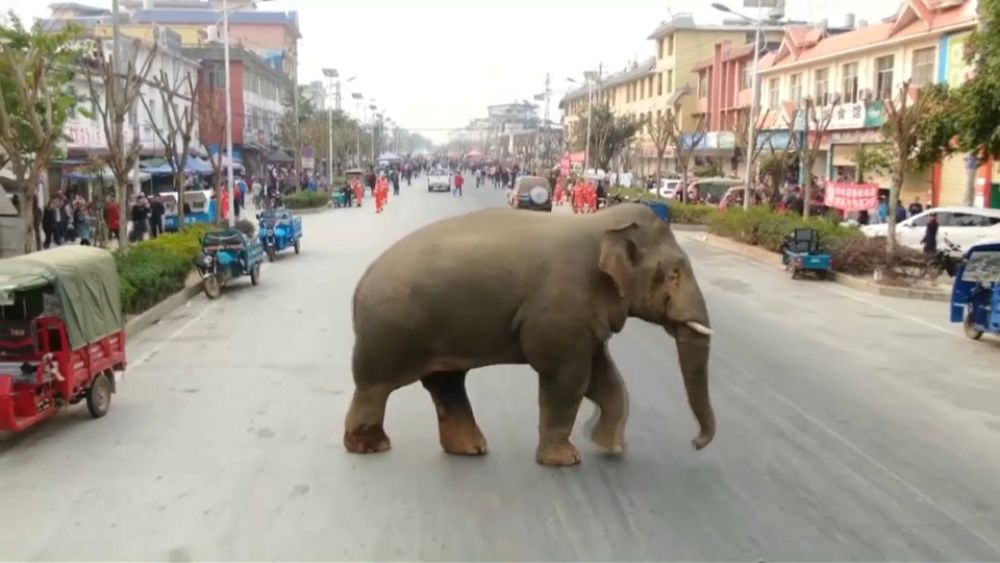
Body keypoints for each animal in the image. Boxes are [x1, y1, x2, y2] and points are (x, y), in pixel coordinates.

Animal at [344, 202, 715, 466]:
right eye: (674, 274)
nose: (695, 443)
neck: (601, 224)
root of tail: (362, 280)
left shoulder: (583, 318)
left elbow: (604, 379)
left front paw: (611, 447)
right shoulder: (560, 311)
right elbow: (569, 377)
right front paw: (565, 460)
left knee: (446, 381)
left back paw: (470, 449)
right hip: (390, 330)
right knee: (375, 386)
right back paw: (370, 447)